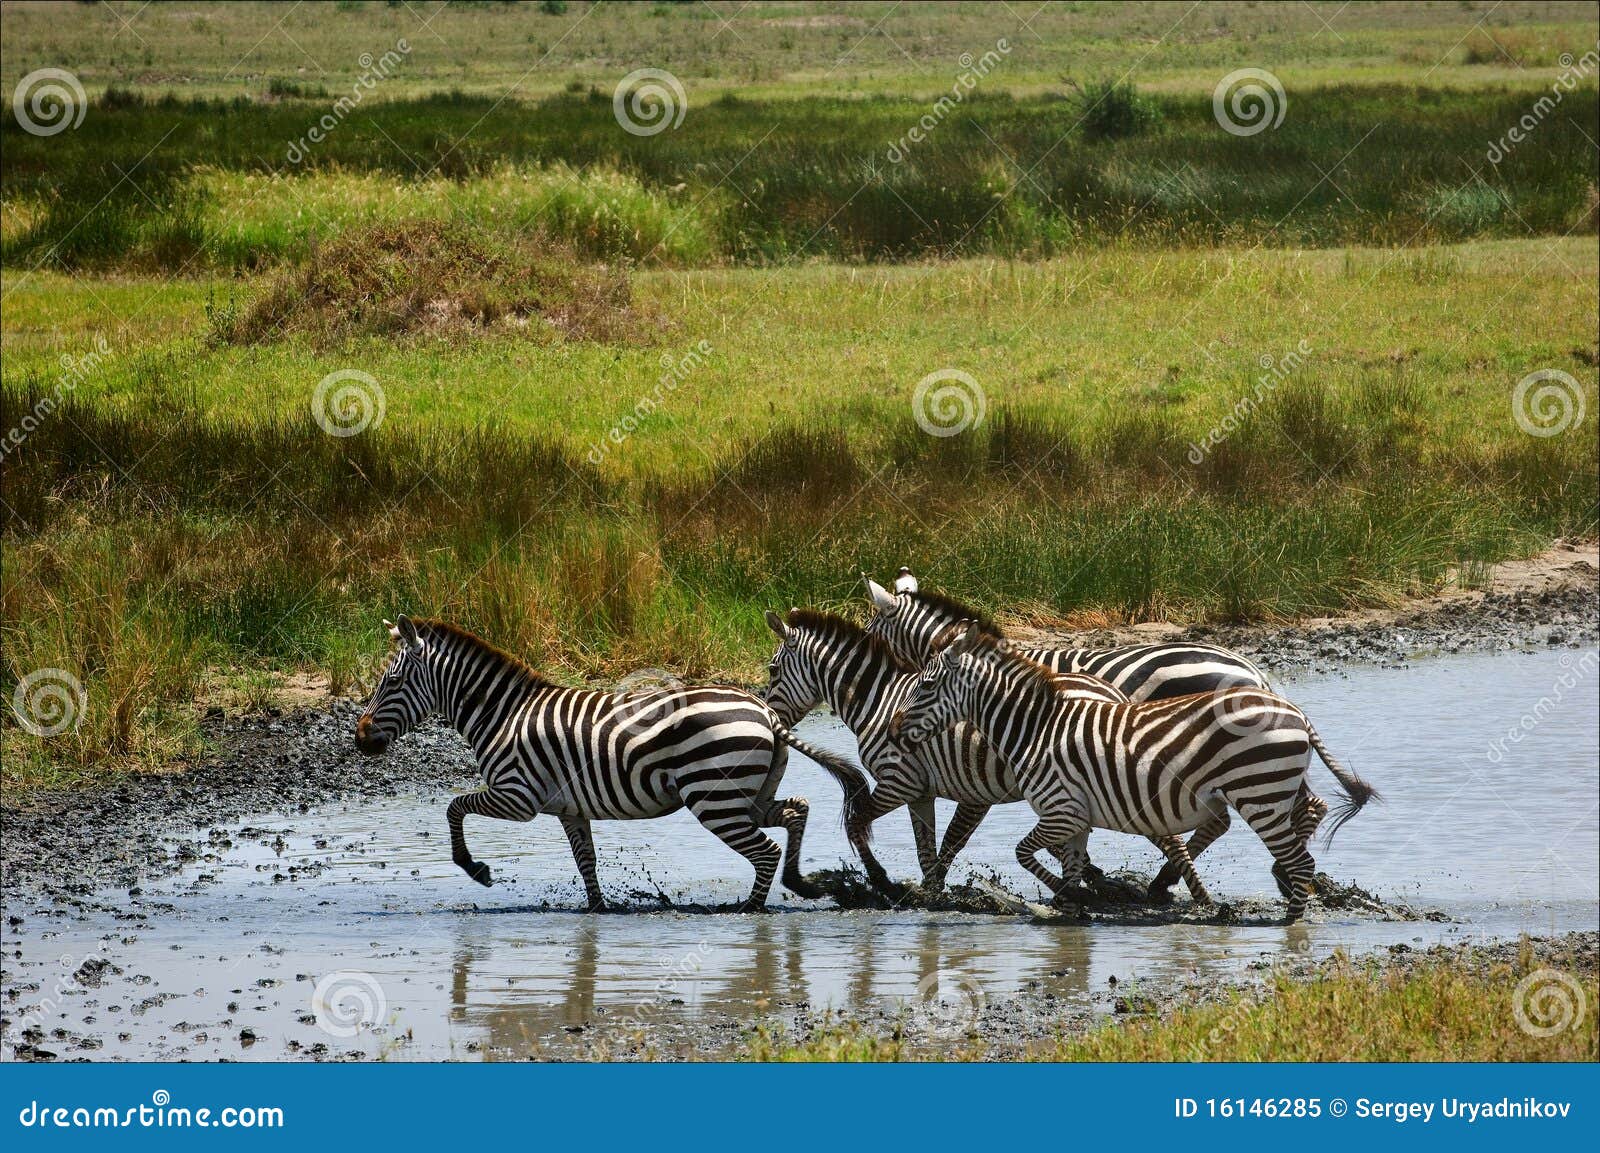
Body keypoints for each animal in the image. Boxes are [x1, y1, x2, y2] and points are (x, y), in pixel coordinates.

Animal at [355, 615, 871, 911]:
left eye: (391, 682)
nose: (359, 739)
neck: (503, 715)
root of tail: (765, 711)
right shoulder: (569, 807)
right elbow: (586, 860)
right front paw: (597, 911)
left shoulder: (517, 797)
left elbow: (454, 806)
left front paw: (474, 868)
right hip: (745, 794)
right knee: (797, 809)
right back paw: (802, 885)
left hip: (714, 798)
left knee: (765, 850)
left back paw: (750, 910)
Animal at [763, 608, 1206, 903]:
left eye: (771, 670)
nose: (769, 716)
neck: (878, 701)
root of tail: (1113, 693)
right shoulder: (922, 792)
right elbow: (929, 848)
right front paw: (930, 893)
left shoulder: (897, 781)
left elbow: (859, 825)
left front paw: (885, 883)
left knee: (1165, 835)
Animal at [889, 622, 1379, 922]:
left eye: (925, 686)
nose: (892, 729)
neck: (1034, 728)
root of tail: (1294, 711)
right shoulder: (1076, 817)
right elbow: (1069, 865)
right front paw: (1074, 905)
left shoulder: (1060, 809)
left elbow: (1023, 853)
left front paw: (1073, 898)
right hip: (1273, 790)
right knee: (1301, 832)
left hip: (1258, 795)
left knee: (1299, 859)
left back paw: (1288, 926)